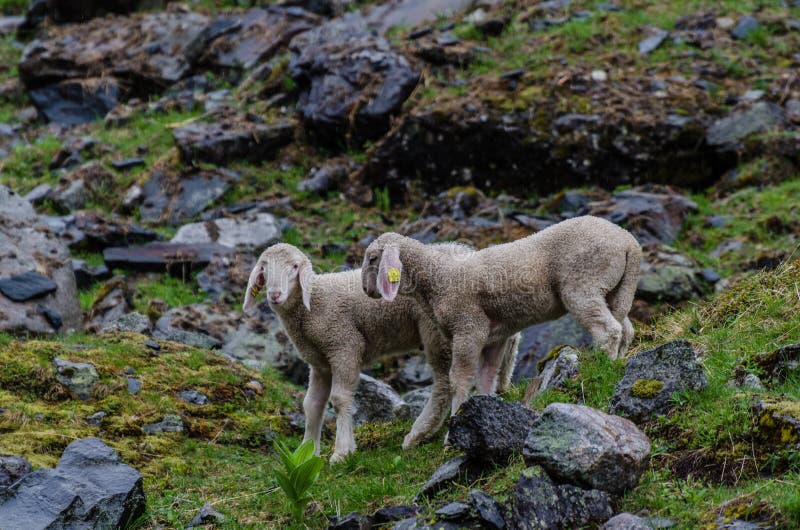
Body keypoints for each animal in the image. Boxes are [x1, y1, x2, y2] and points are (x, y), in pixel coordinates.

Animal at [242, 243, 519, 461]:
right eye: (264, 269)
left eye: (294, 267)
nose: (274, 295)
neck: (313, 304)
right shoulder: (320, 363)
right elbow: (312, 405)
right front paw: (307, 452)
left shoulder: (344, 345)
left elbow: (340, 399)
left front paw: (342, 451)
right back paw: (501, 384)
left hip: (437, 330)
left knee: (443, 384)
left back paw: (419, 433)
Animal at [361, 215, 642, 418]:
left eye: (373, 258)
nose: (366, 290)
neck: (438, 276)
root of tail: (629, 242)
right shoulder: (493, 336)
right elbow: (487, 375)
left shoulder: (468, 328)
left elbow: (459, 380)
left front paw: (454, 422)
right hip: (614, 288)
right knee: (625, 328)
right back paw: (619, 361)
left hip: (583, 283)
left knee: (608, 330)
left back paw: (602, 367)